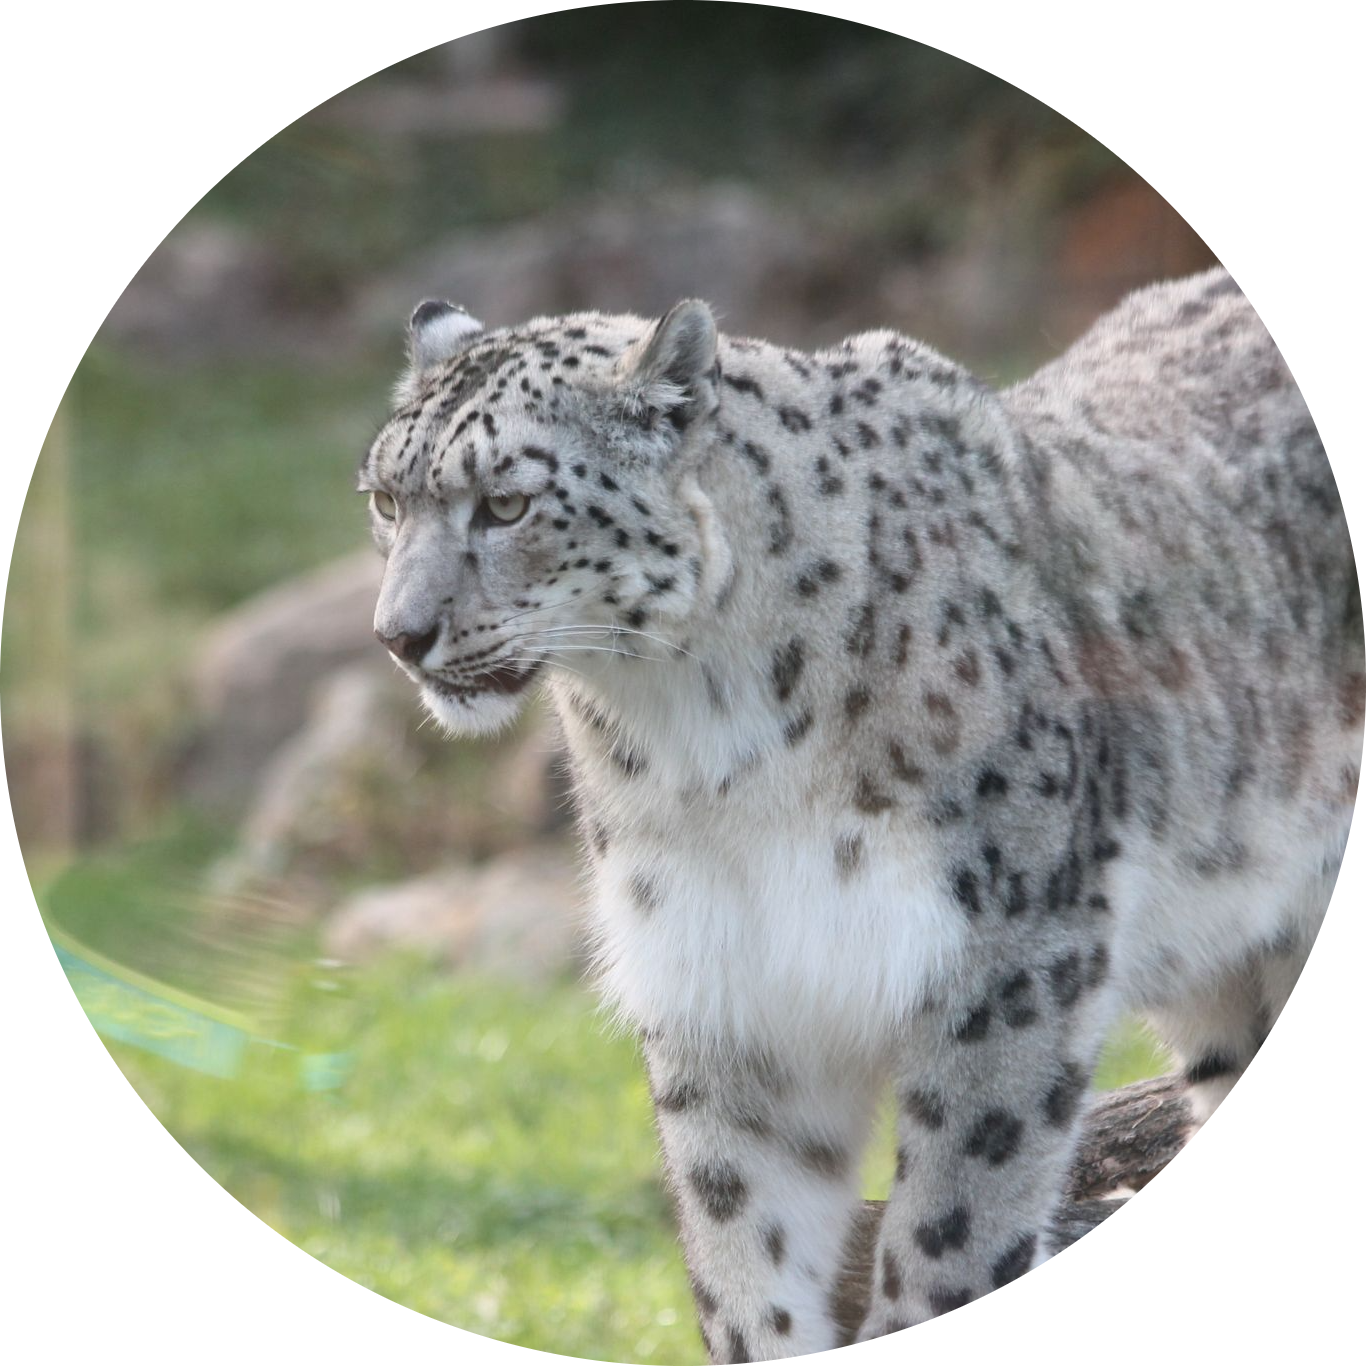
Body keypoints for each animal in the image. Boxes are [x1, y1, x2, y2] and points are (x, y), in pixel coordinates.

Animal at [359, 269, 1360, 1360]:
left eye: (507, 503)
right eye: (385, 500)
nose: (398, 635)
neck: (707, 751)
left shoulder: (1006, 962)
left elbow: (949, 1226)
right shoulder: (723, 992)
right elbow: (743, 1252)